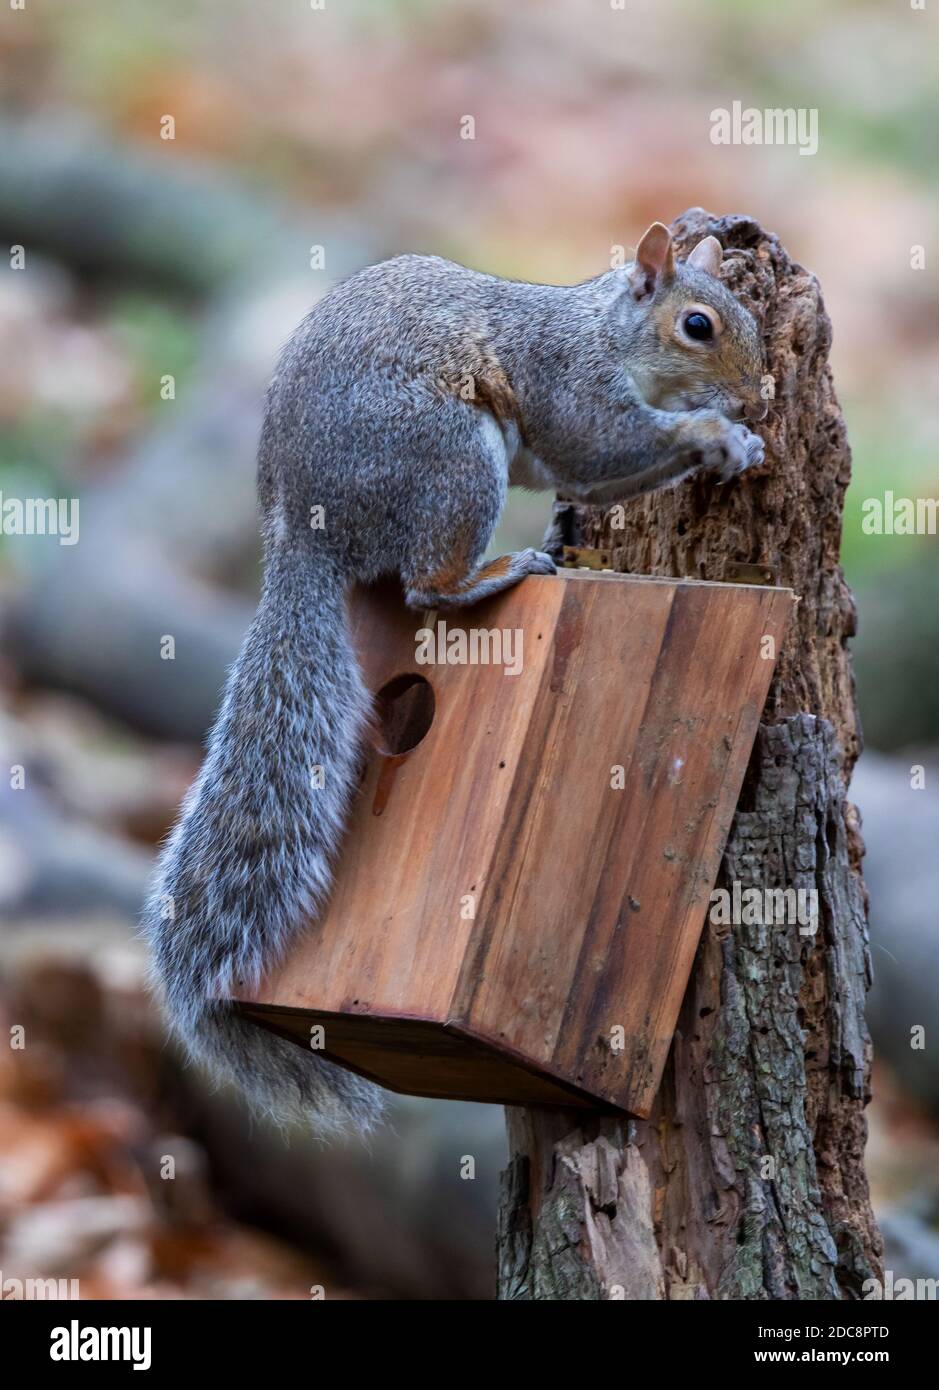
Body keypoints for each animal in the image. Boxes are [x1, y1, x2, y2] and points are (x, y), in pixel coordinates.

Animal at [143, 222, 767, 1136]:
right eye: (697, 326)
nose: (755, 400)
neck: (603, 330)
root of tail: (301, 531)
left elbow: (586, 475)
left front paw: (732, 442)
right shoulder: (567, 384)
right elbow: (601, 442)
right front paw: (710, 434)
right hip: (448, 459)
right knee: (424, 587)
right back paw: (496, 571)